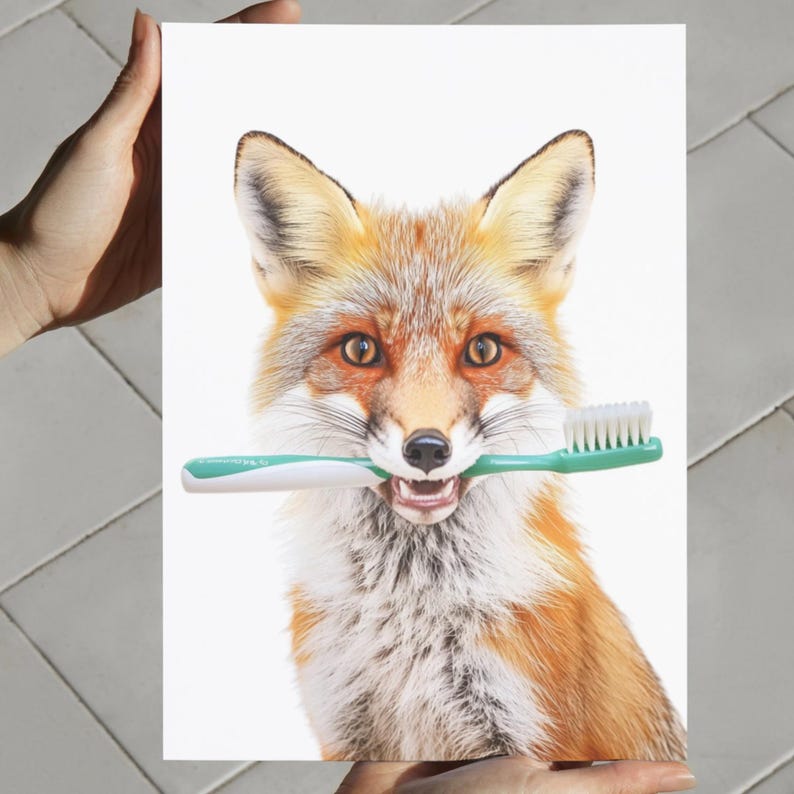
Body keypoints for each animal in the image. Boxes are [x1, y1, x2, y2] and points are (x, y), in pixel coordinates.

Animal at [233, 129, 686, 762]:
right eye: (360, 350)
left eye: (483, 350)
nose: (427, 449)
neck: (411, 612)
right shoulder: (345, 728)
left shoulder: (524, 732)